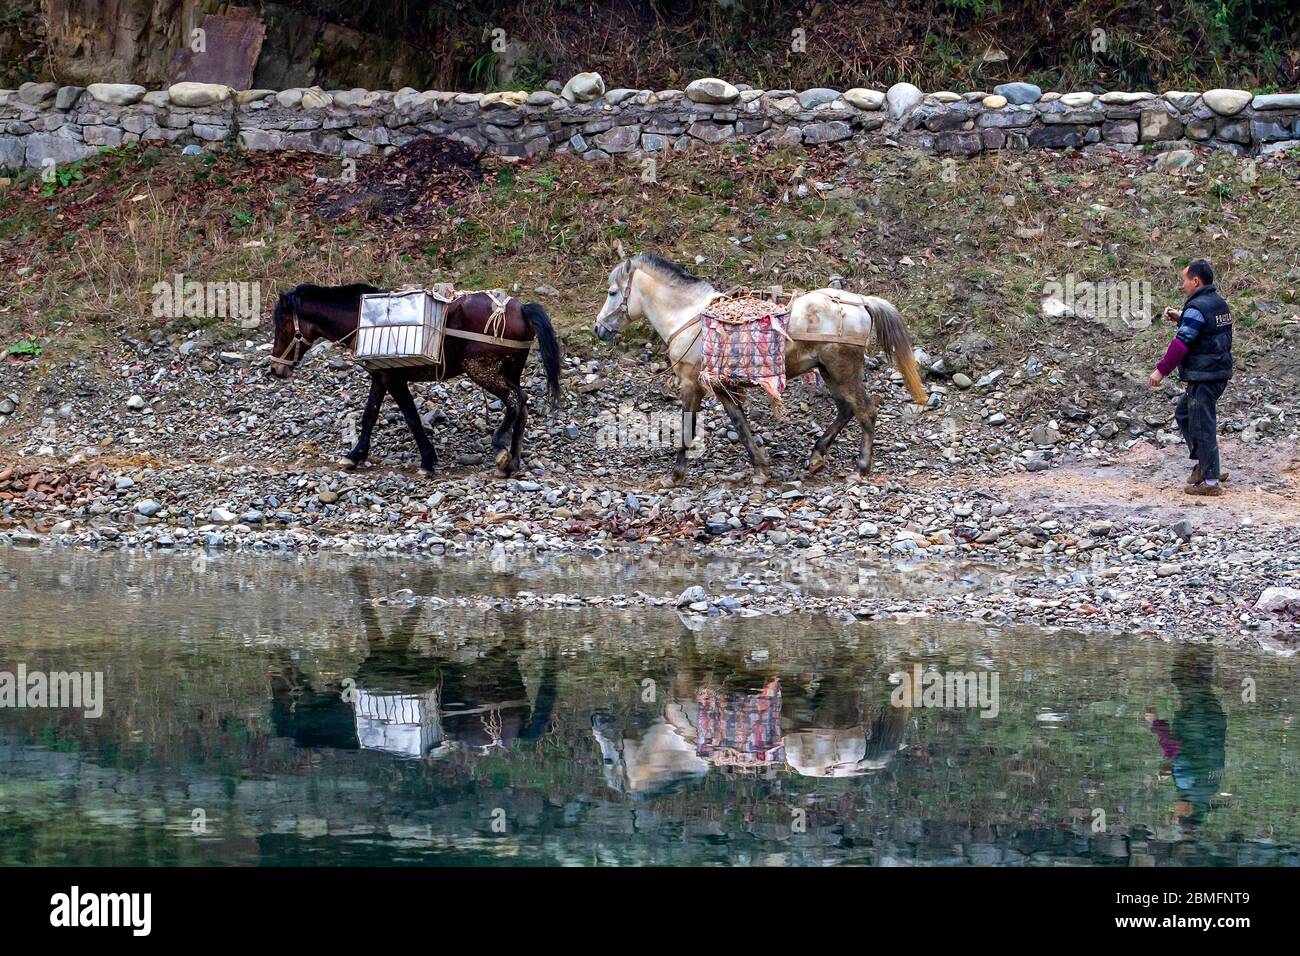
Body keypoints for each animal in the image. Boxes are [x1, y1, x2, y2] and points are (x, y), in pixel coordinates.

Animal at [268, 282, 562, 476]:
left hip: (482, 370)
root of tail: (521, 308)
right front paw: (356, 455)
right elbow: (370, 415)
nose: (275, 369)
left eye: (281, 324)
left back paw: (501, 449)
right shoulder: (380, 377)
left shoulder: (393, 379)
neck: (361, 321)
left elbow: (411, 417)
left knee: (515, 400)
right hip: (510, 370)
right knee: (522, 405)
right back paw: (513, 461)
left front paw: (427, 460)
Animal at [593, 253, 928, 484]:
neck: (689, 317)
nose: (599, 329)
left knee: (865, 411)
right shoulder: (721, 387)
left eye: (612, 292)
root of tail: (859, 302)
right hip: (829, 372)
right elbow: (740, 423)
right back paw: (816, 457)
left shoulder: (691, 383)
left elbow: (689, 426)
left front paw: (675, 475)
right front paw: (761, 468)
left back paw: (860, 468)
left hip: (842, 371)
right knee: (847, 410)